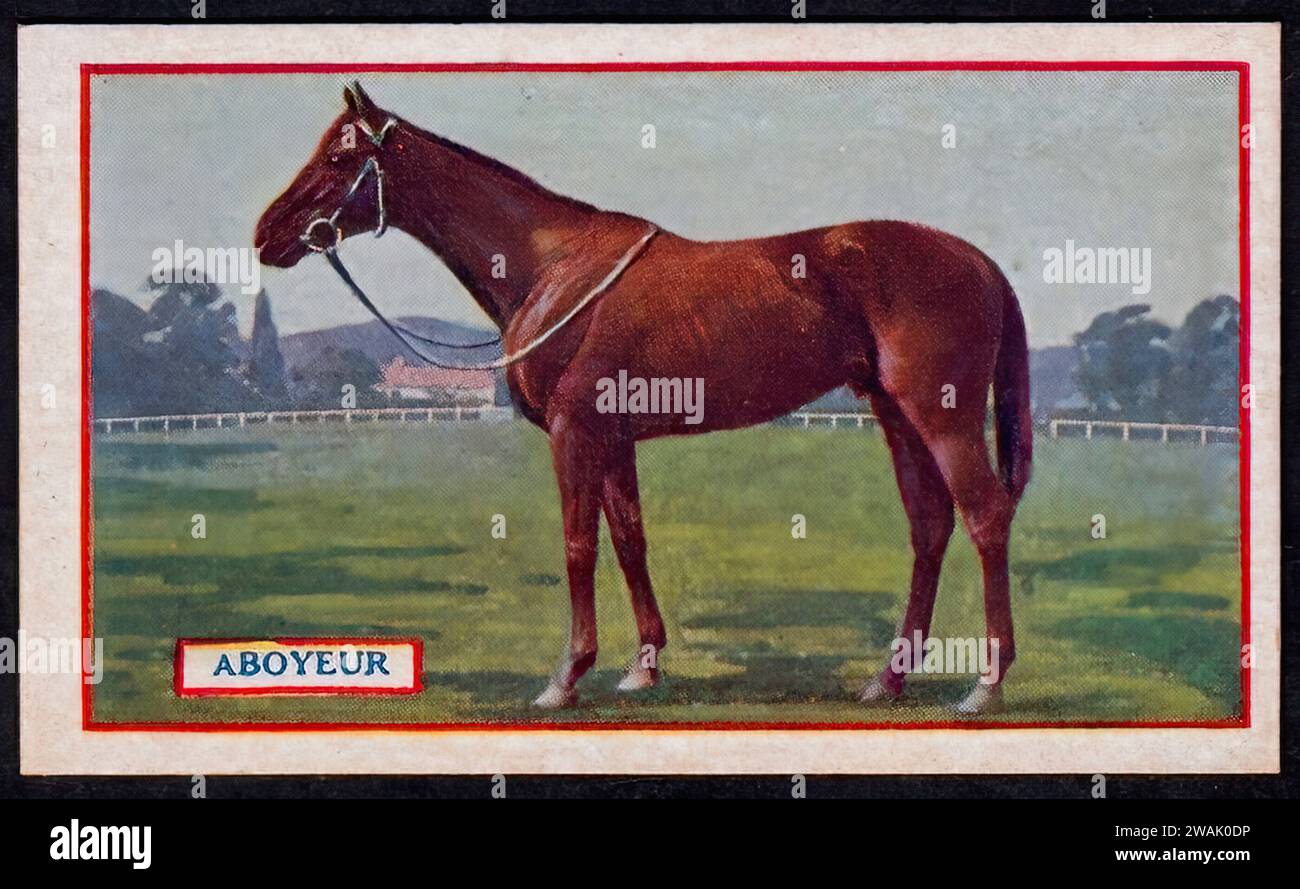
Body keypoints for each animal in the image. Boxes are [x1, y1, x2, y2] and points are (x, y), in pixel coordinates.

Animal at [254, 82, 1033, 714]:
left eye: (338, 158)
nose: (266, 235)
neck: (554, 264)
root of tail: (981, 261)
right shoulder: (615, 438)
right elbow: (630, 539)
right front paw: (643, 668)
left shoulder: (574, 433)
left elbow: (578, 545)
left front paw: (565, 677)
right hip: (896, 415)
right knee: (930, 527)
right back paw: (888, 678)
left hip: (941, 415)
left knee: (985, 516)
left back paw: (985, 684)